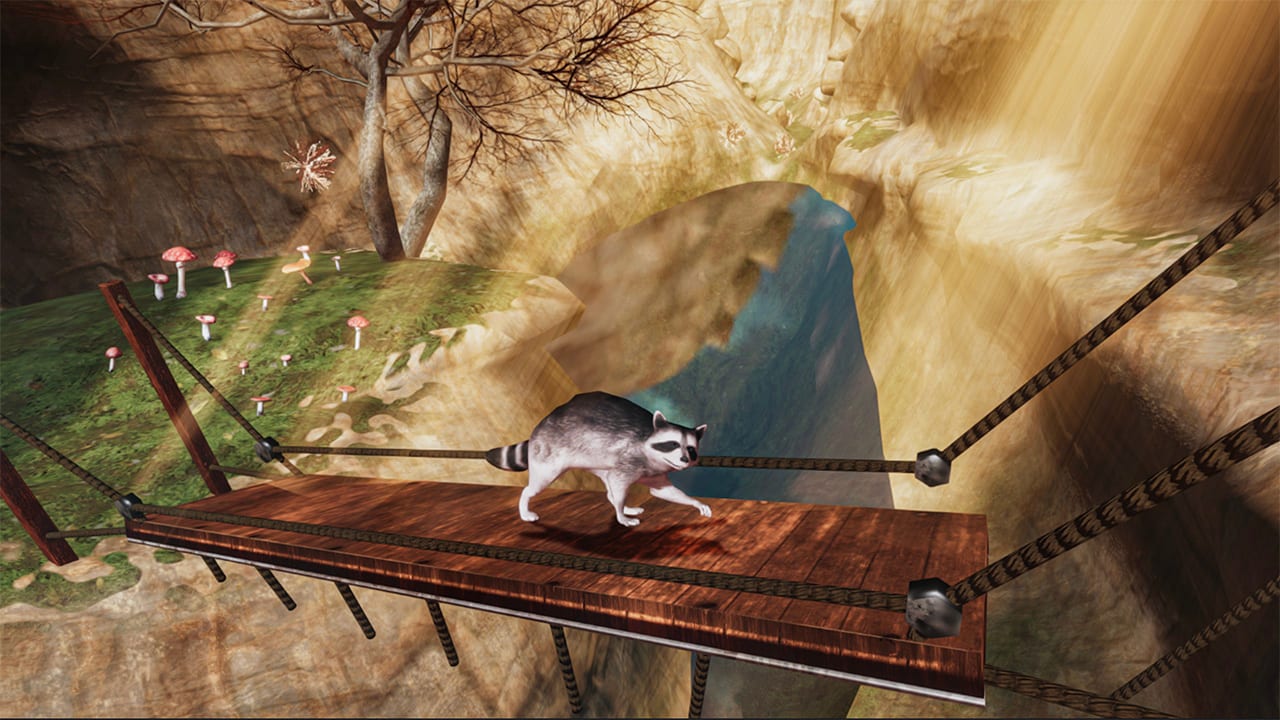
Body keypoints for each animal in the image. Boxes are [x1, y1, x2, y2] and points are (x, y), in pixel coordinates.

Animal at [486, 391, 711, 527]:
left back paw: (621, 503)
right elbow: (619, 482)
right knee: (537, 484)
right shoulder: (630, 459)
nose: (684, 459)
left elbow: (662, 491)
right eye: (672, 444)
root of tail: (546, 419)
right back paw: (525, 503)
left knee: (609, 482)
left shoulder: (655, 472)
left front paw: (694, 502)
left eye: (691, 449)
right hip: (548, 454)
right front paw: (621, 515)